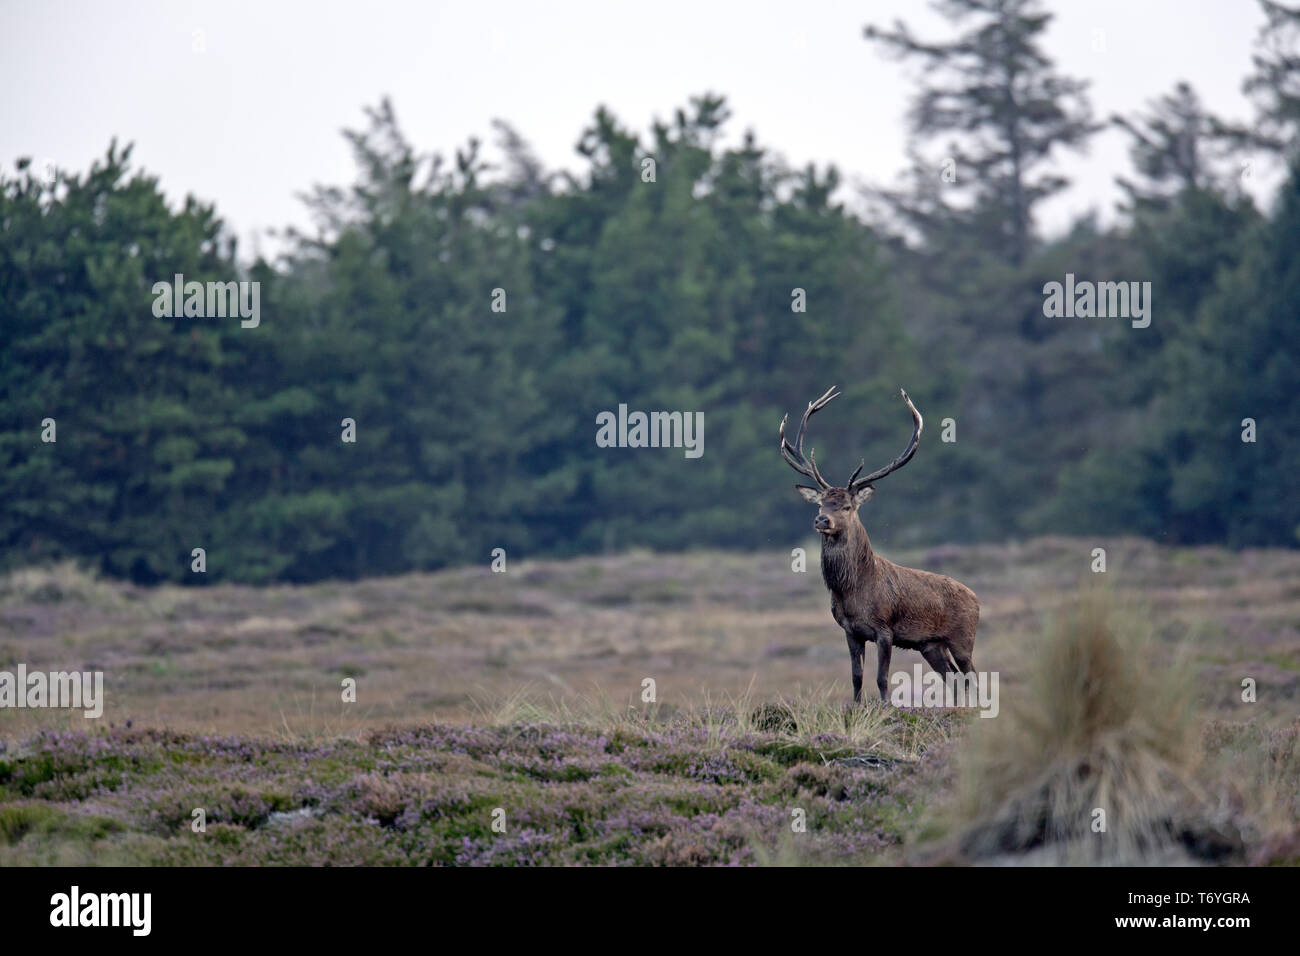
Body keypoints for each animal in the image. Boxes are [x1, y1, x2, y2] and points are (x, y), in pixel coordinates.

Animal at [779, 386, 979, 704]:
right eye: (821, 503)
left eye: (847, 506)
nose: (821, 520)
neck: (852, 593)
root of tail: (977, 599)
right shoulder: (850, 631)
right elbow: (857, 677)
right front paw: (856, 707)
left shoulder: (885, 630)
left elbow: (882, 678)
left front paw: (886, 708)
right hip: (931, 644)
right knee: (954, 679)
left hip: (962, 638)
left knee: (973, 677)